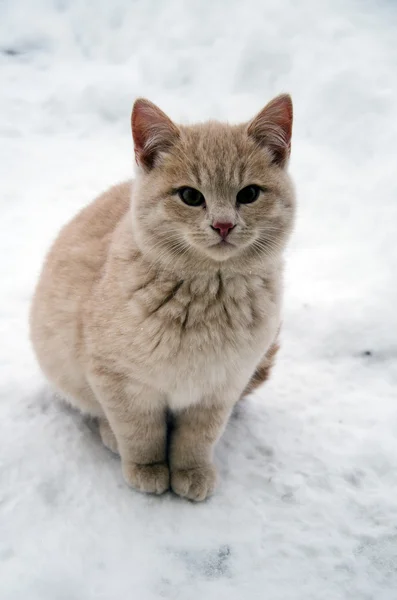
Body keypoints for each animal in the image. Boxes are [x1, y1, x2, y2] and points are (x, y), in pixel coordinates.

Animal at [30, 95, 294, 502]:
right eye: (190, 196)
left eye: (248, 194)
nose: (223, 225)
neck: (206, 297)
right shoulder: (117, 378)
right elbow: (140, 431)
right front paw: (147, 467)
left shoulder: (221, 387)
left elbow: (197, 438)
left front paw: (191, 471)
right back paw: (109, 435)